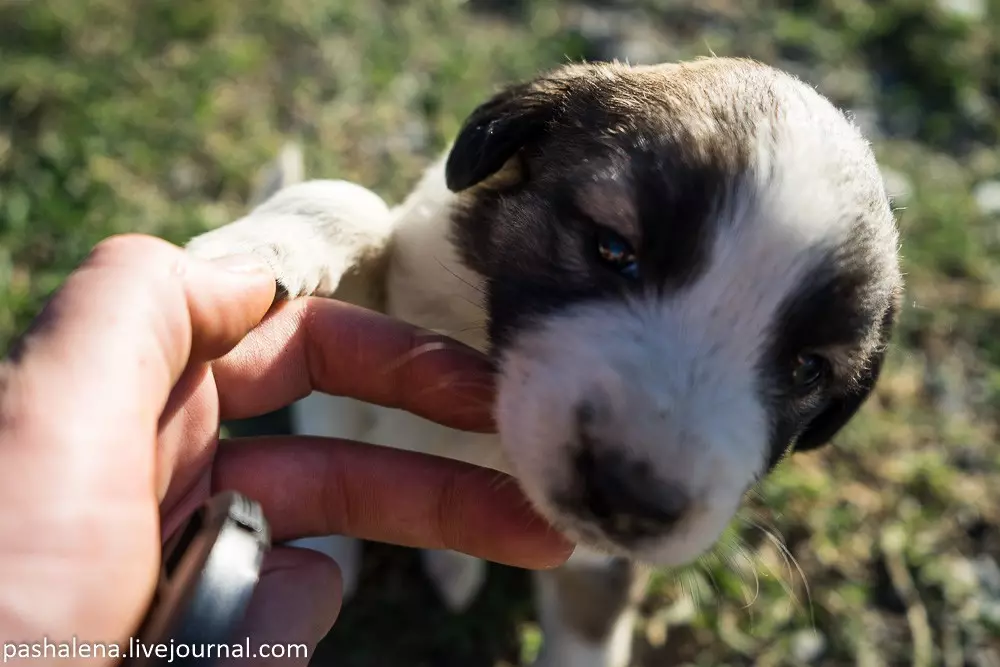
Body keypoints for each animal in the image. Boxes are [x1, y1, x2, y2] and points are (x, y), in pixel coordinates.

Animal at [184, 58, 904, 667]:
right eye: (613, 248)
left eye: (808, 368)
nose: (631, 498)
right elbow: (349, 199)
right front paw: (253, 249)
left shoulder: (598, 569)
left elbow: (586, 638)